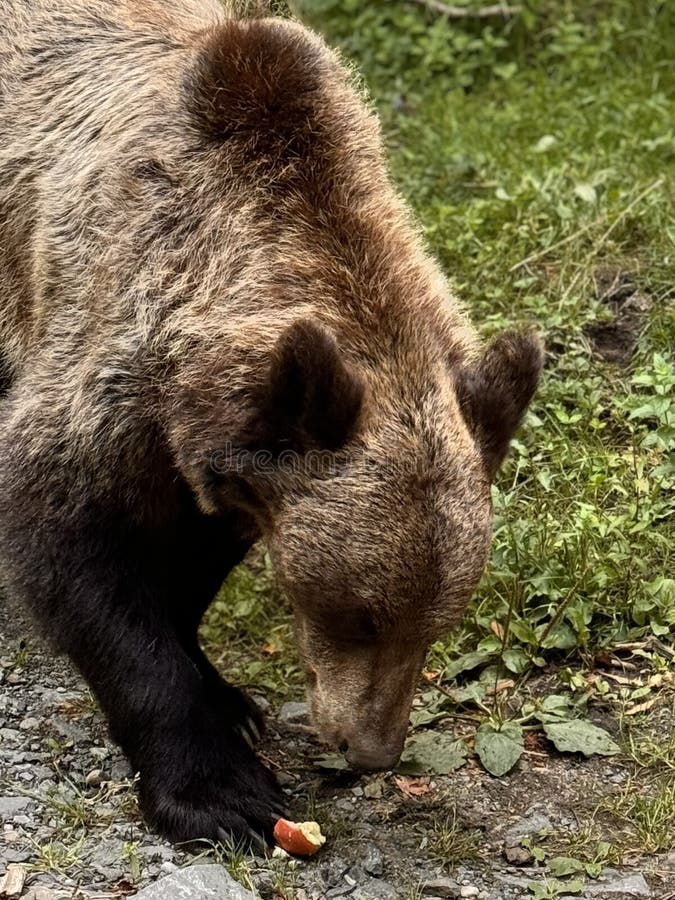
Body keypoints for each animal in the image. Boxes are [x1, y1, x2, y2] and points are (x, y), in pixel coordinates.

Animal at [0, 0, 542, 843]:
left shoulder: (215, 452)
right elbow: (75, 550)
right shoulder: (104, 347)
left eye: (438, 623)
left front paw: (228, 696)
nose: (372, 750)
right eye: (358, 614)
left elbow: (193, 557)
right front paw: (220, 791)